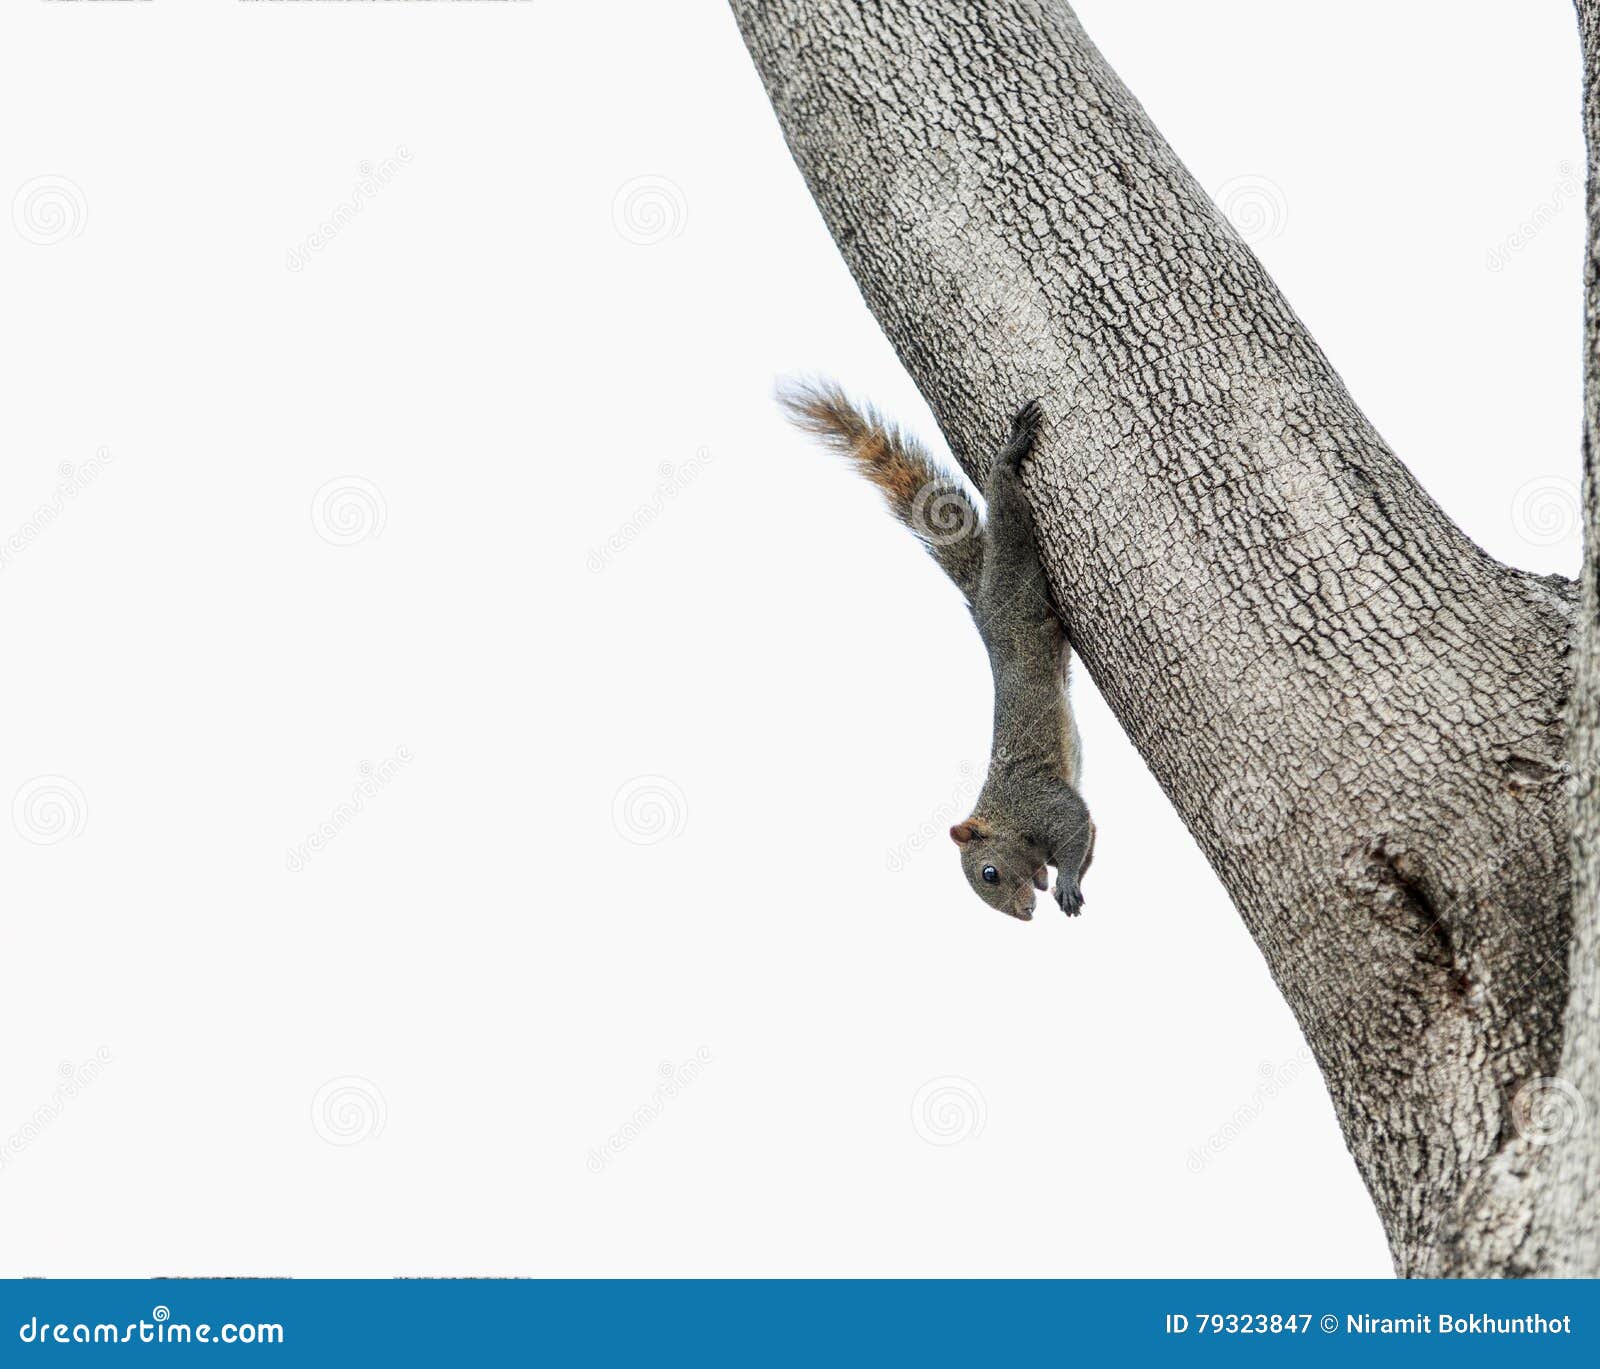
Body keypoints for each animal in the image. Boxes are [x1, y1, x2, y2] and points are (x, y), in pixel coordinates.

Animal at [781, 384, 1095, 920]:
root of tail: (984, 607)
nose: (1025, 916)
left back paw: (1007, 457)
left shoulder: (1039, 801)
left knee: (1008, 515)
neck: (1006, 816)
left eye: (988, 872)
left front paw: (1069, 883)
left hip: (1014, 582)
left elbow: (1077, 824)